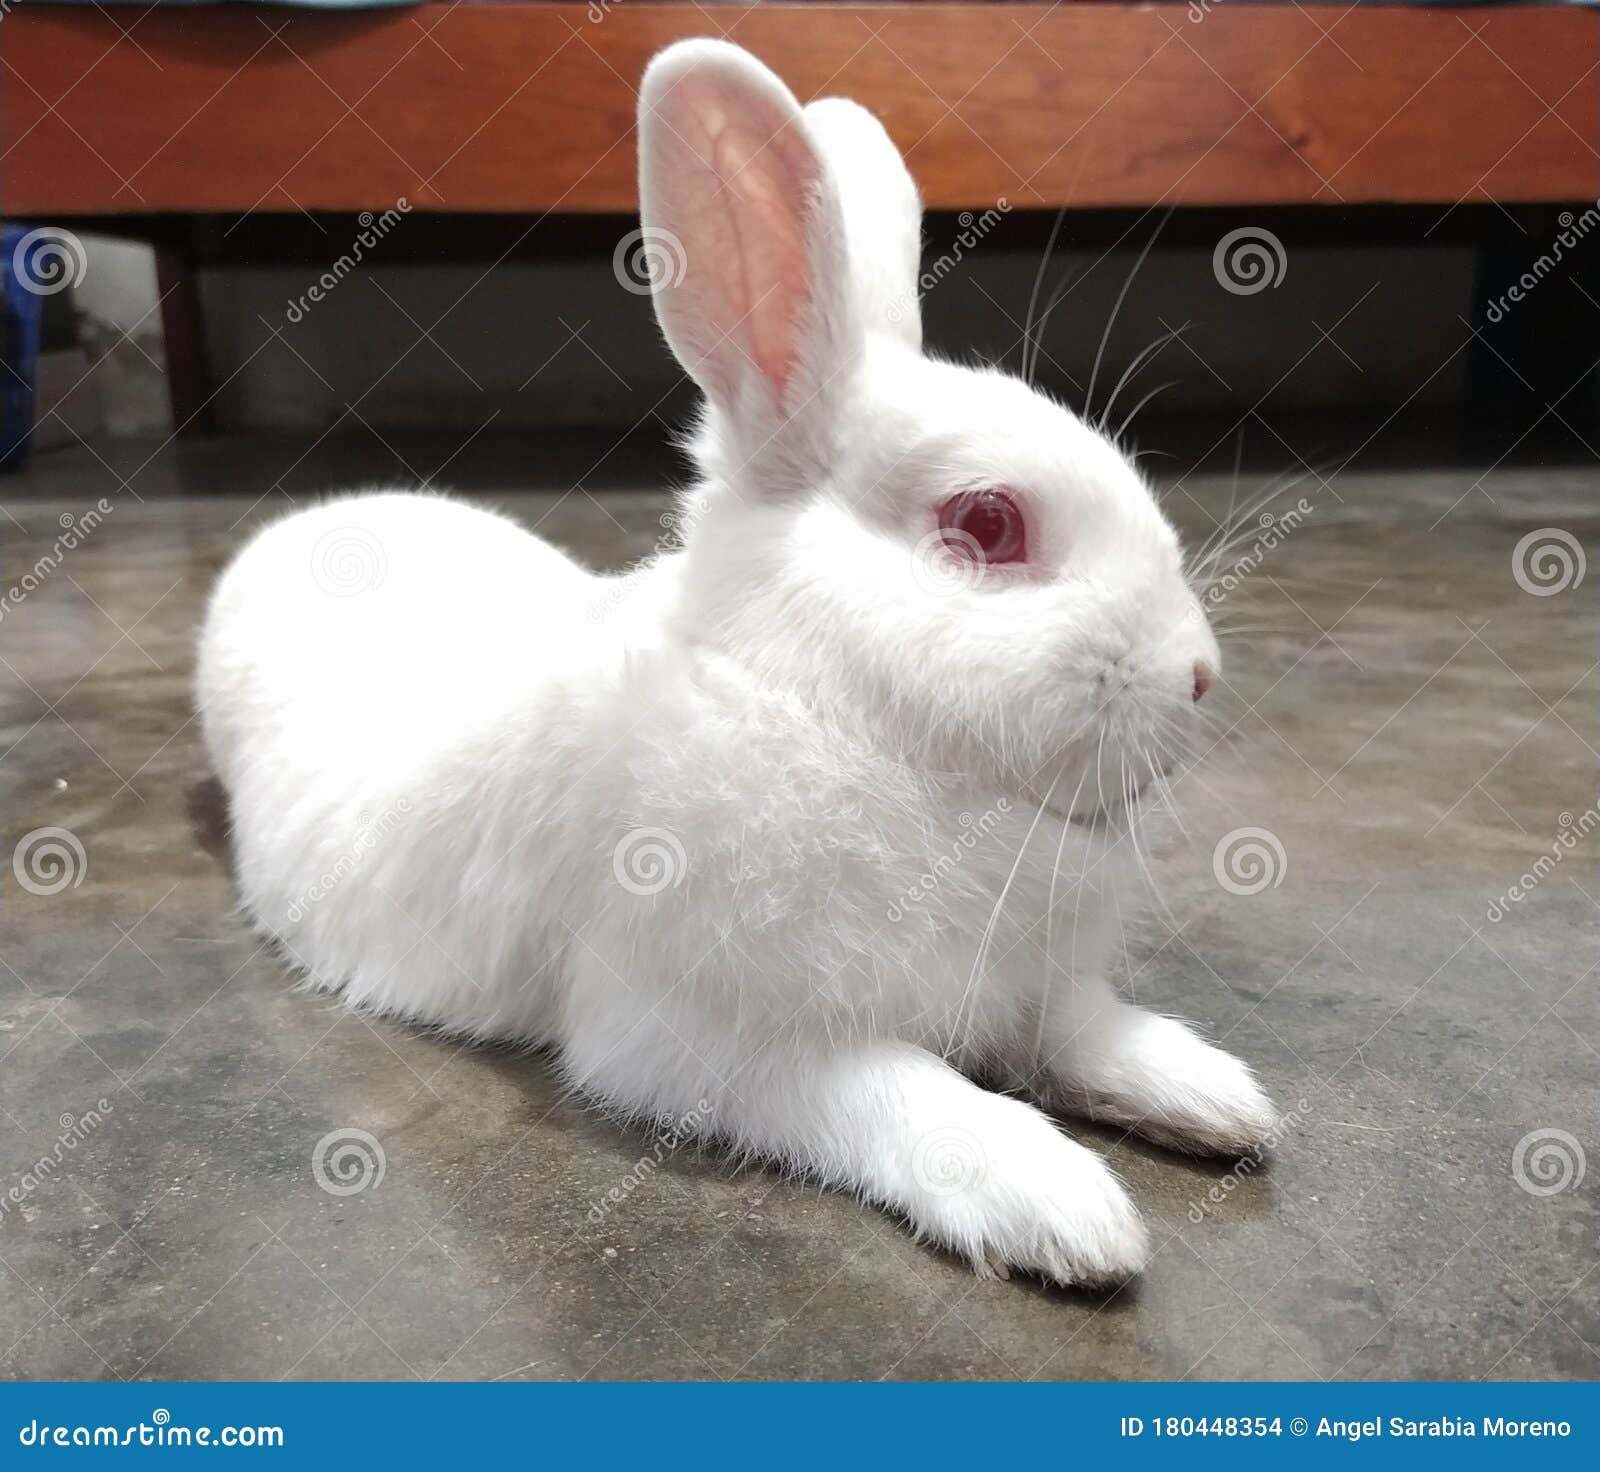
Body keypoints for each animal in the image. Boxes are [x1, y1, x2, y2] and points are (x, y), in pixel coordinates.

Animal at [196, 37, 1277, 1288]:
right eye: (988, 522)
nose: (1198, 673)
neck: (844, 723)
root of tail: (311, 520)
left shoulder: (1029, 990)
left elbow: (1086, 1029)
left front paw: (1213, 1095)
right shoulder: (713, 1037)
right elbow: (907, 1094)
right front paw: (1065, 1210)